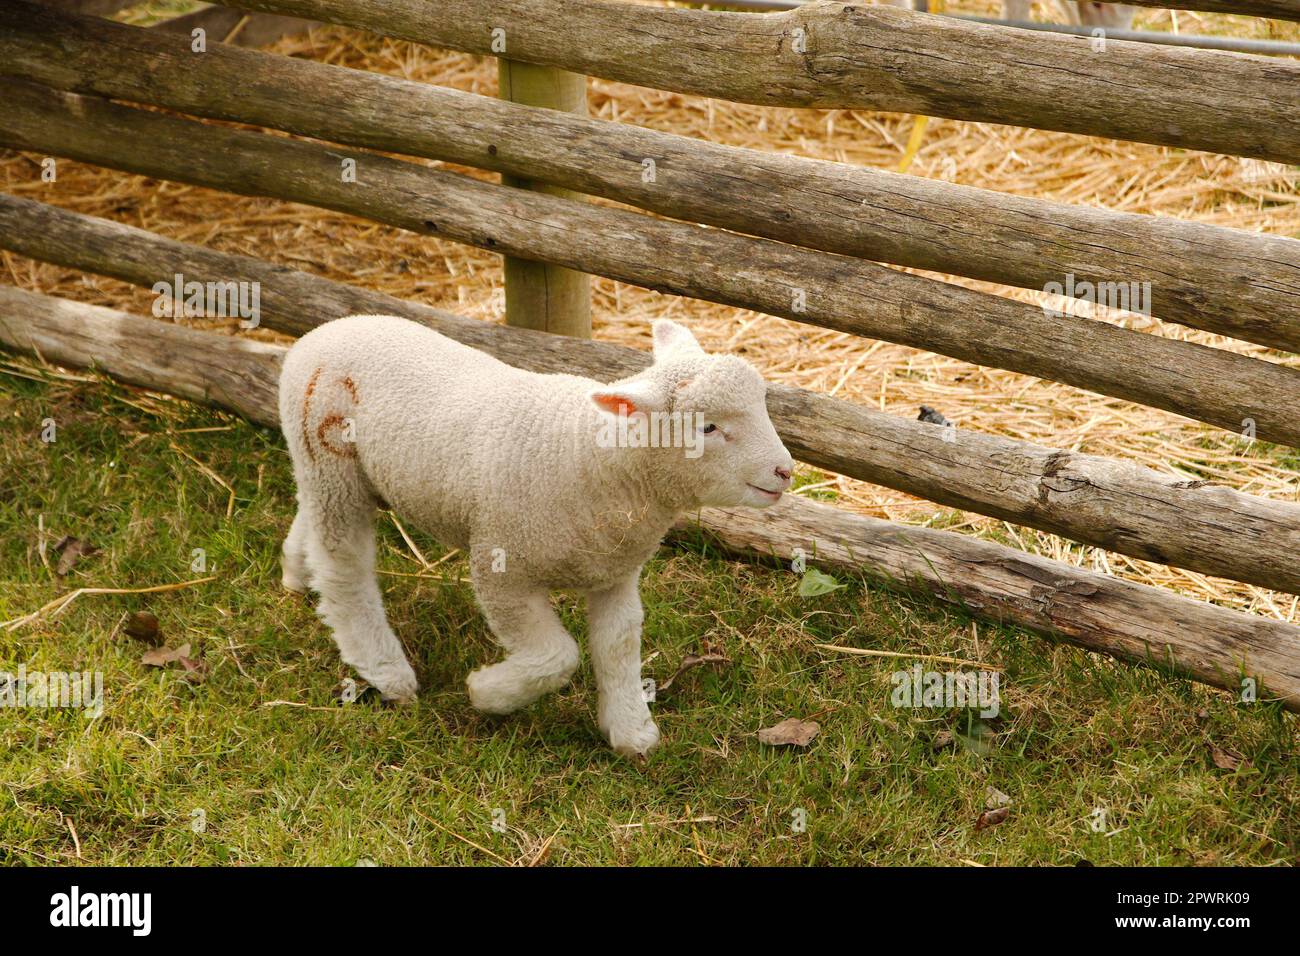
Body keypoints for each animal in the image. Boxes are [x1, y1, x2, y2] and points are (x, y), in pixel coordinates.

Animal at [278, 315, 794, 757]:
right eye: (708, 427)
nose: (785, 471)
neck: (594, 457)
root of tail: (323, 332)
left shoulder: (615, 573)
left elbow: (619, 646)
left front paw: (630, 730)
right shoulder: (501, 568)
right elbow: (557, 658)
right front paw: (488, 693)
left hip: (334, 473)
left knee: (311, 519)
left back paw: (297, 575)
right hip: (330, 459)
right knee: (344, 565)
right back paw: (385, 669)